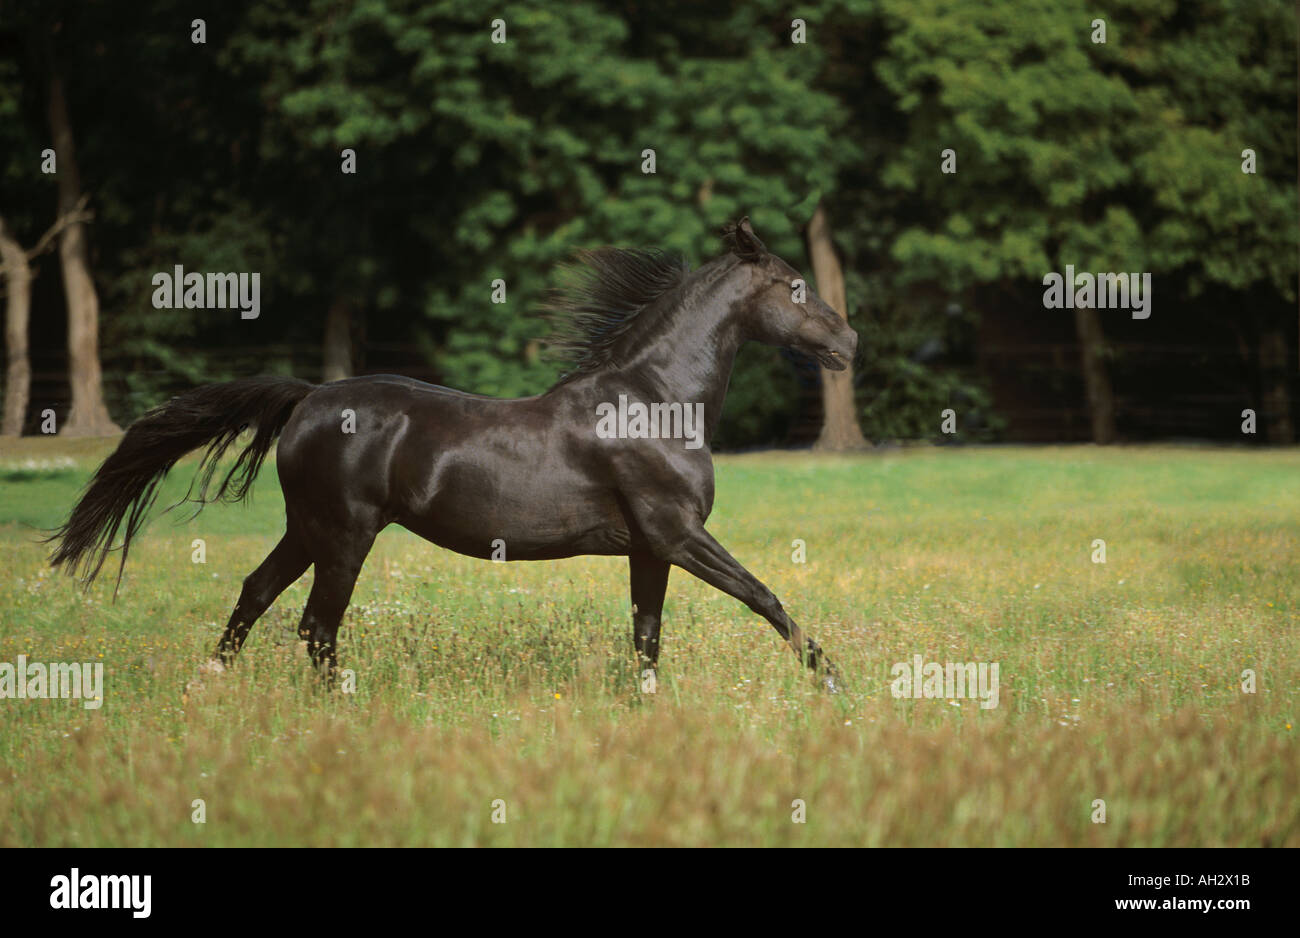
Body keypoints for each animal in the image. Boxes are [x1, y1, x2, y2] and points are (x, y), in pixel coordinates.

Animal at [50, 218, 858, 692]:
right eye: (796, 286)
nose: (850, 341)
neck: (653, 399)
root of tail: (308, 398)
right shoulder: (678, 532)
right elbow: (764, 597)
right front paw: (834, 682)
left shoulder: (649, 548)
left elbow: (647, 637)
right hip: (345, 535)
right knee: (316, 626)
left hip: (307, 530)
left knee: (256, 595)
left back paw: (208, 686)